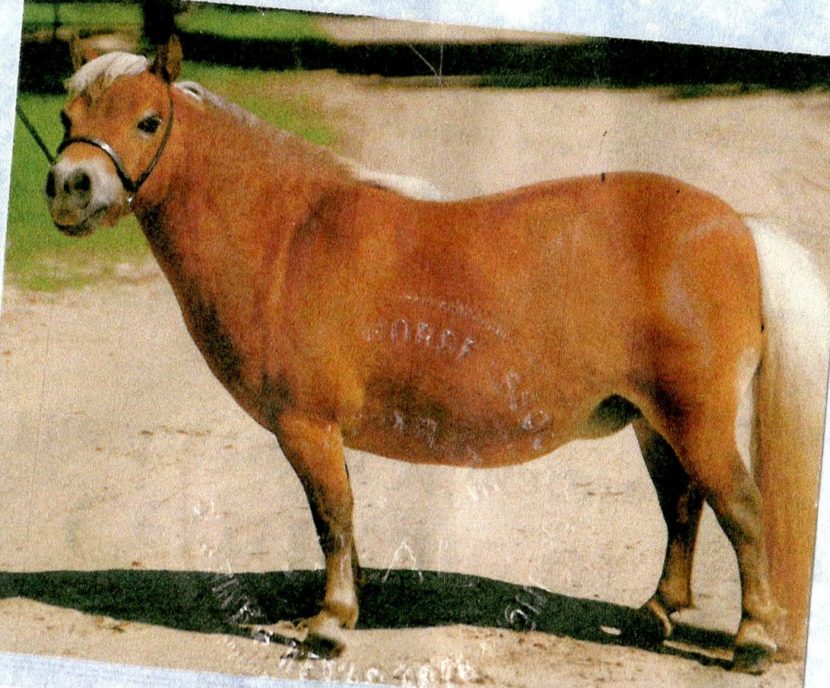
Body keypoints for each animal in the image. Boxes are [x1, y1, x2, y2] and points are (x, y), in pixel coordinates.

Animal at [44, 37, 829, 673]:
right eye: (66, 120)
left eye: (148, 121)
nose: (69, 187)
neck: (289, 235)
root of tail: (735, 225)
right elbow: (341, 520)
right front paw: (352, 603)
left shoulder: (306, 426)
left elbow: (331, 516)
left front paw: (330, 623)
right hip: (651, 421)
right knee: (683, 508)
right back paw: (656, 615)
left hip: (694, 418)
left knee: (741, 509)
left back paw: (753, 641)